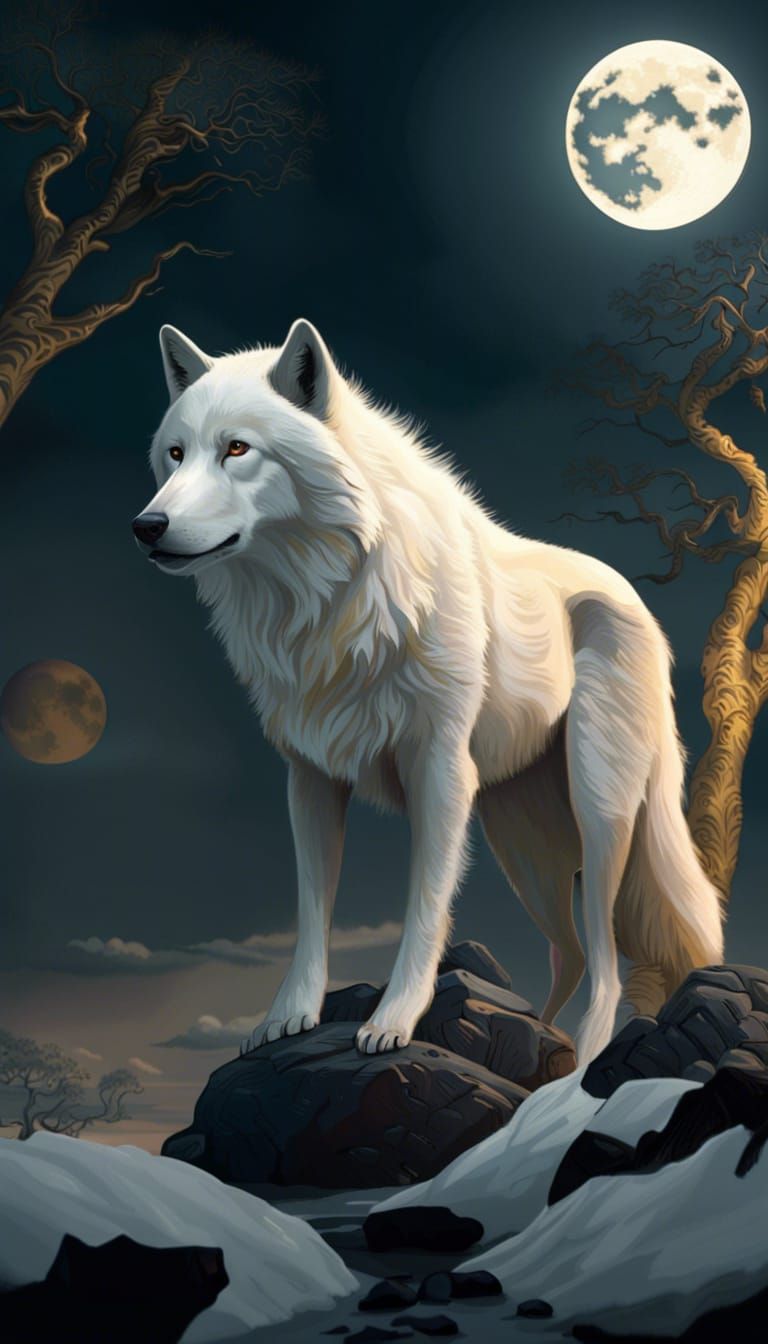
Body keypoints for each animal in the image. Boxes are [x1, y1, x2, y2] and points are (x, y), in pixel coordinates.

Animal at [134, 319, 724, 1063]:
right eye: (176, 454)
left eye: (237, 449)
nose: (146, 527)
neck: (329, 602)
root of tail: (637, 601)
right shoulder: (310, 778)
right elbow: (311, 913)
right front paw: (288, 1017)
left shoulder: (438, 772)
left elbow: (425, 907)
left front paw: (394, 1019)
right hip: (523, 847)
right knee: (571, 955)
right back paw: (544, 1048)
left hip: (599, 814)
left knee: (607, 964)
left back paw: (577, 1067)